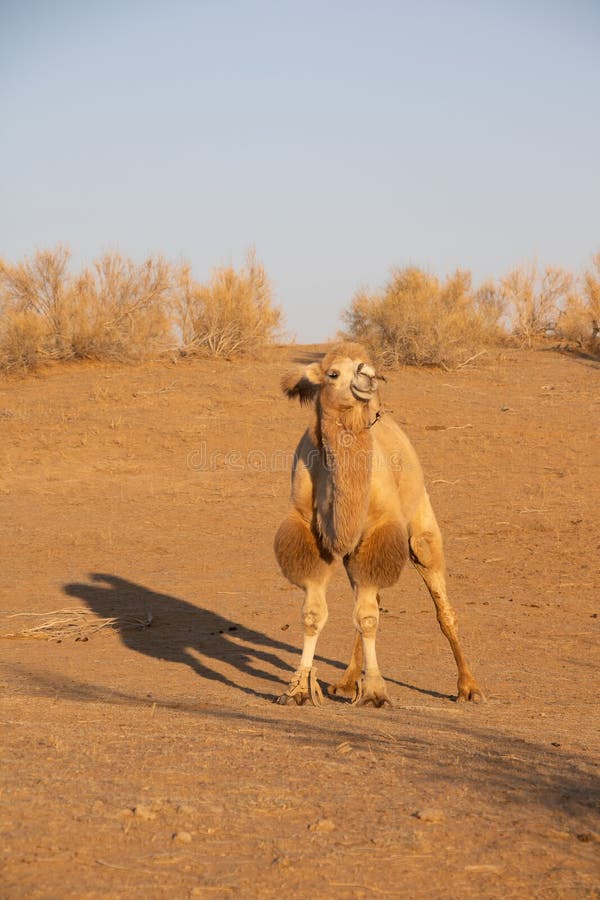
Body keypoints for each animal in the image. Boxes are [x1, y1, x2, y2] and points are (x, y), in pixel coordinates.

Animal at [274, 342, 482, 707]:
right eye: (333, 373)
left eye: (365, 364)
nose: (368, 377)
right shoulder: (312, 536)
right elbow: (315, 614)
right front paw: (298, 689)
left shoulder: (379, 531)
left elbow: (368, 617)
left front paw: (373, 692)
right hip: (353, 553)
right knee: (368, 599)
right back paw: (345, 682)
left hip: (420, 525)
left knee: (441, 605)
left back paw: (467, 687)